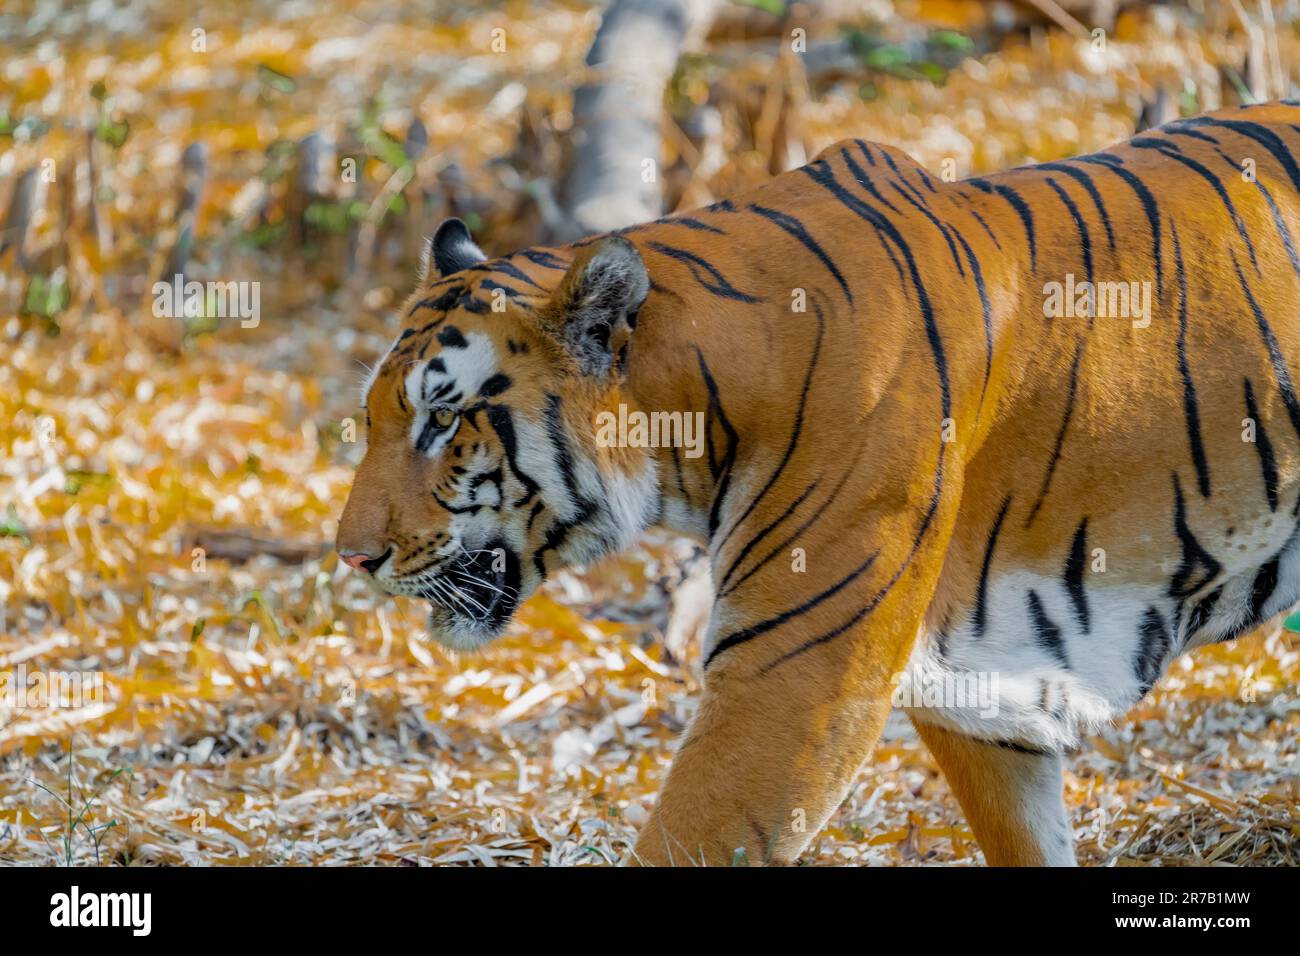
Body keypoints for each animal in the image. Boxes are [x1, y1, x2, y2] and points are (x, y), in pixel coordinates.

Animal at [337, 102, 1300, 866]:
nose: (352, 559)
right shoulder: (984, 687)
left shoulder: (798, 667)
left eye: (442, 420)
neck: (697, 412)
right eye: (377, 418)